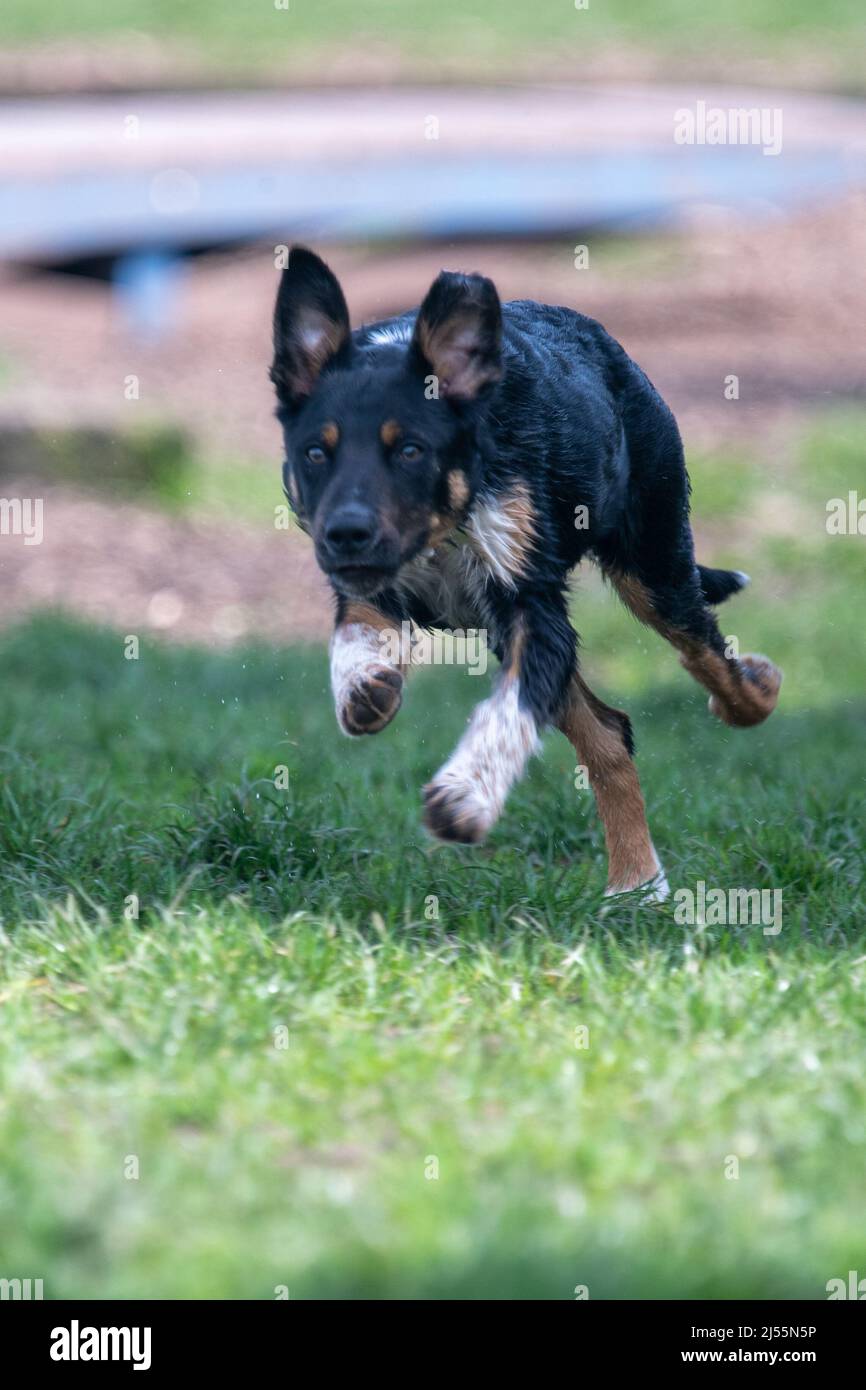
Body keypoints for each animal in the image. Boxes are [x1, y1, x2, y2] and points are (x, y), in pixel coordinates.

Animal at [270, 247, 782, 898]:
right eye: (316, 452)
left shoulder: (530, 608)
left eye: (410, 450)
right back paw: (638, 886)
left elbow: (507, 715)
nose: (345, 534)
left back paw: (756, 691)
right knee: (609, 732)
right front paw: (365, 685)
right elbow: (356, 630)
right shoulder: (374, 586)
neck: (447, 532)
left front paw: (462, 797)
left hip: (655, 564)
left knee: (705, 654)